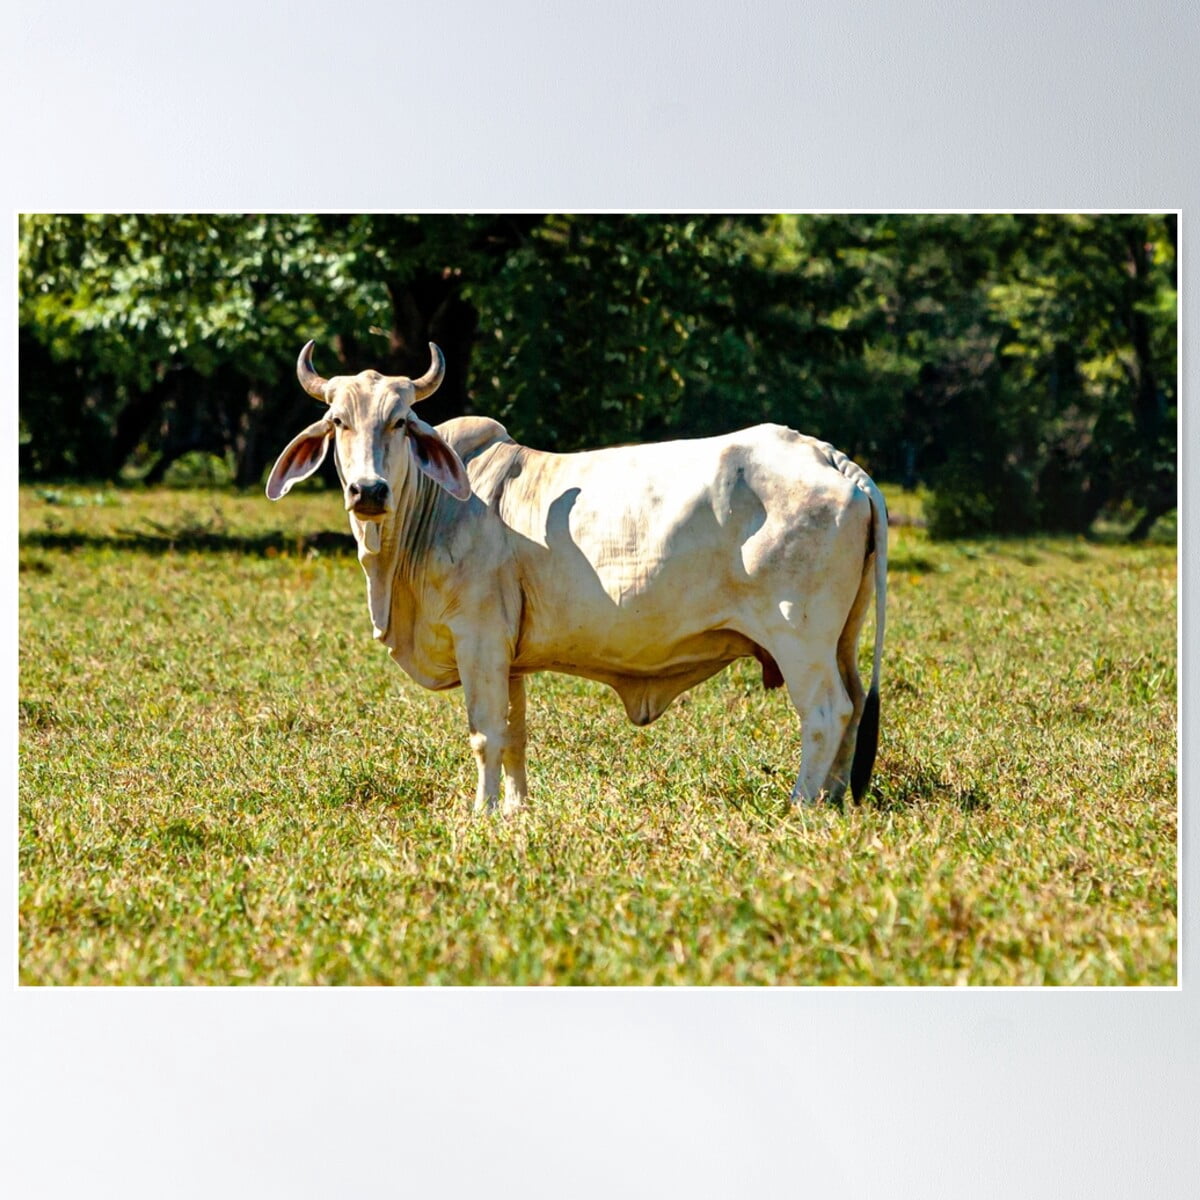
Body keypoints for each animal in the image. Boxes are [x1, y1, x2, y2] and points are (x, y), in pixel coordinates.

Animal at [267, 341, 887, 814]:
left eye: (399, 422)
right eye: (338, 422)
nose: (368, 491)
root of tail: (834, 460)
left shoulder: (478, 638)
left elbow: (485, 732)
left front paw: (481, 813)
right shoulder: (509, 655)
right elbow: (513, 735)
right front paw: (515, 811)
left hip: (798, 638)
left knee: (827, 712)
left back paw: (802, 804)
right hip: (842, 638)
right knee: (856, 706)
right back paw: (835, 800)